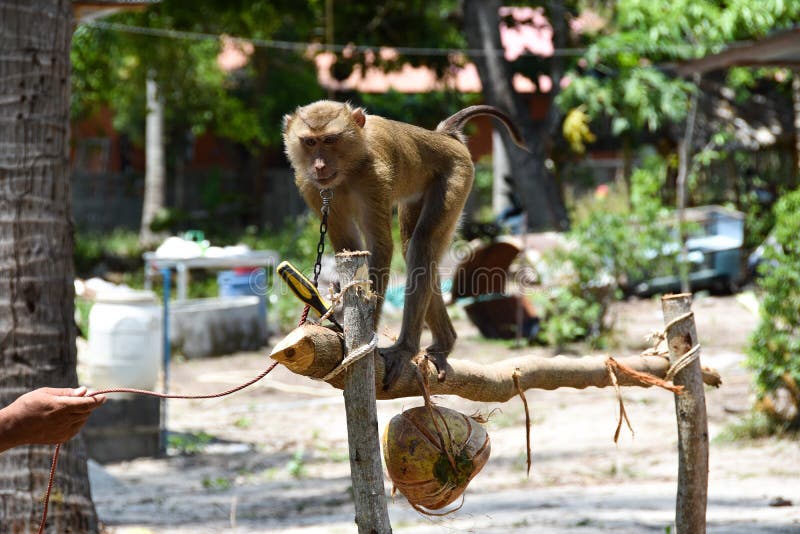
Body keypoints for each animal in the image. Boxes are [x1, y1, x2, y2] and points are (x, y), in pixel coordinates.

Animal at [282, 100, 525, 390]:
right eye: (309, 142)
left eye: (330, 140)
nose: (319, 165)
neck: (350, 167)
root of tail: (444, 136)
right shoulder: (310, 185)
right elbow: (348, 246)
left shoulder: (374, 179)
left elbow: (380, 247)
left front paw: (365, 337)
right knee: (413, 247)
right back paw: (445, 342)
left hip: (457, 172)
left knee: (420, 246)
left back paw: (407, 348)